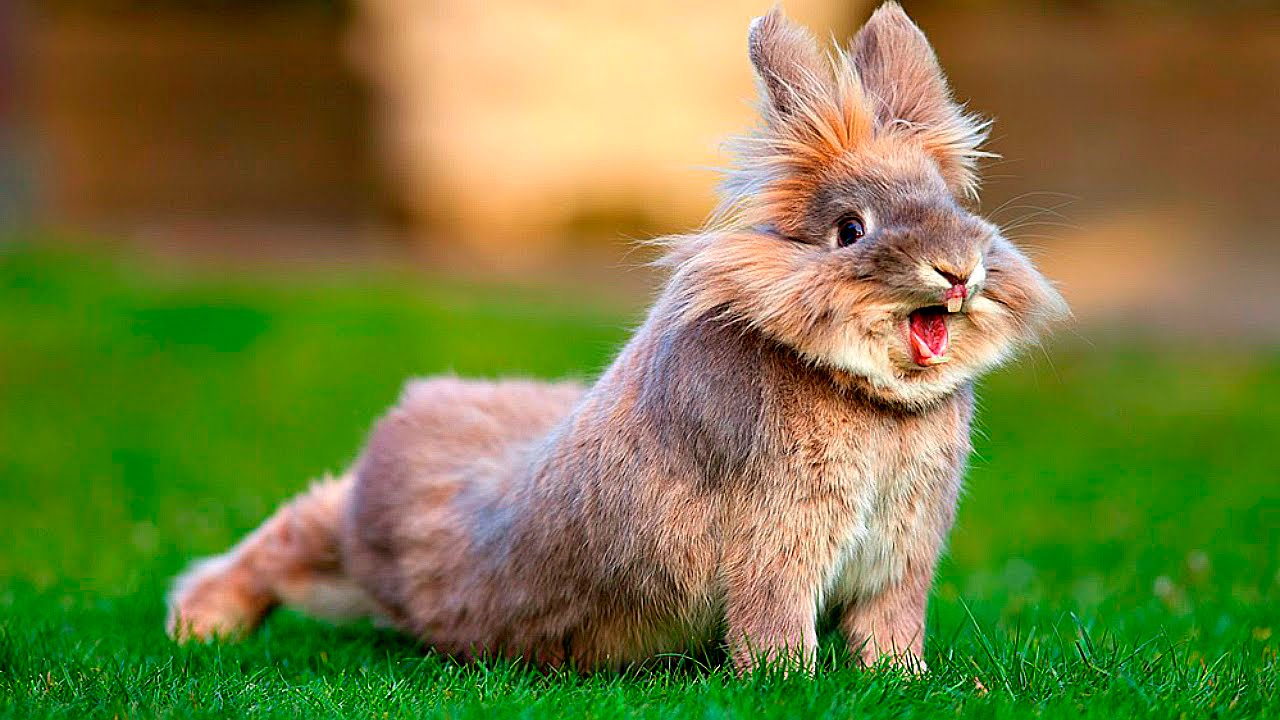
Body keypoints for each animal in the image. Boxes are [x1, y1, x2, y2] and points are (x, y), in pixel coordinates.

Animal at [166, 2, 1067, 673]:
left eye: (948, 203)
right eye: (851, 229)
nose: (958, 270)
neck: (873, 395)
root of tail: (405, 420)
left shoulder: (898, 561)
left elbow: (889, 631)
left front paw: (901, 680)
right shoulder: (779, 544)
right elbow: (773, 625)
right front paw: (791, 681)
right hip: (358, 545)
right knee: (289, 535)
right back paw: (198, 626)